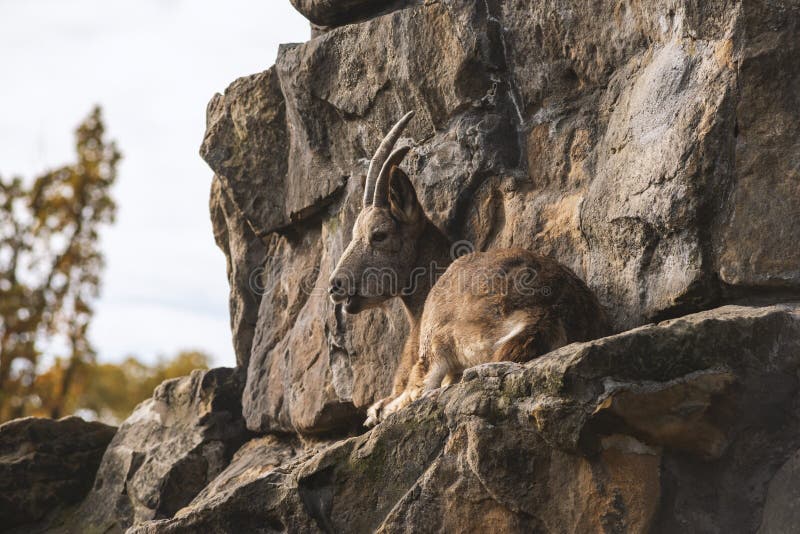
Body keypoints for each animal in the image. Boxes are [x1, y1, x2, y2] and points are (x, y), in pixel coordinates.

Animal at [329, 111, 610, 427]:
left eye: (378, 234)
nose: (335, 284)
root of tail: (544, 313)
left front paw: (376, 410)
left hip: (442, 337)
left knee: (423, 388)